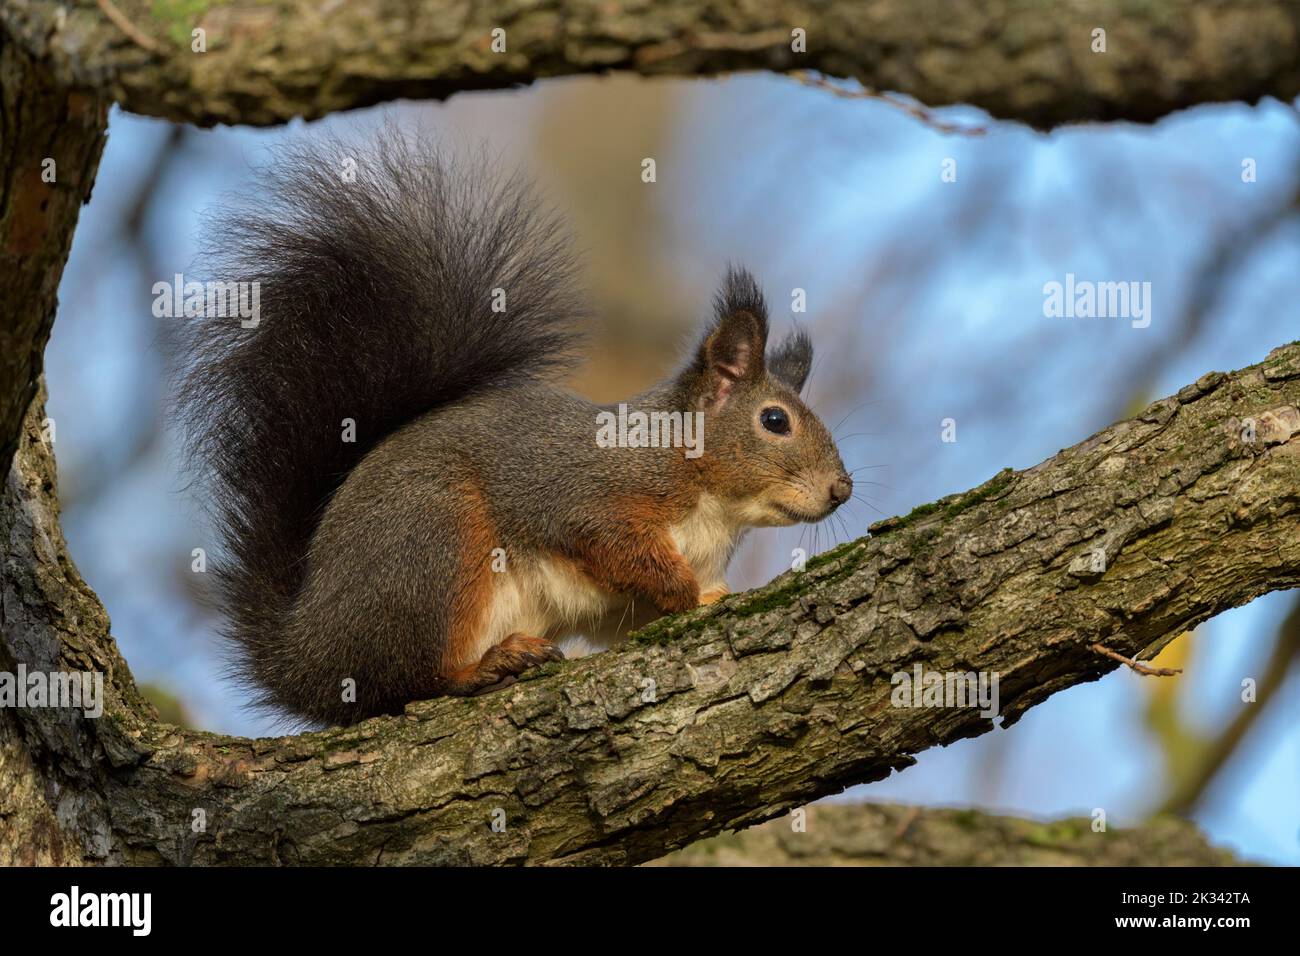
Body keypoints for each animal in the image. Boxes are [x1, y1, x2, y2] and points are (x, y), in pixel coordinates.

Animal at [177, 129, 852, 727]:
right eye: (775, 421)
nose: (842, 489)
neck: (712, 502)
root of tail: (304, 654)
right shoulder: (588, 492)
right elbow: (609, 540)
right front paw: (688, 590)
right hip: (433, 545)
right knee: (409, 679)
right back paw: (487, 665)